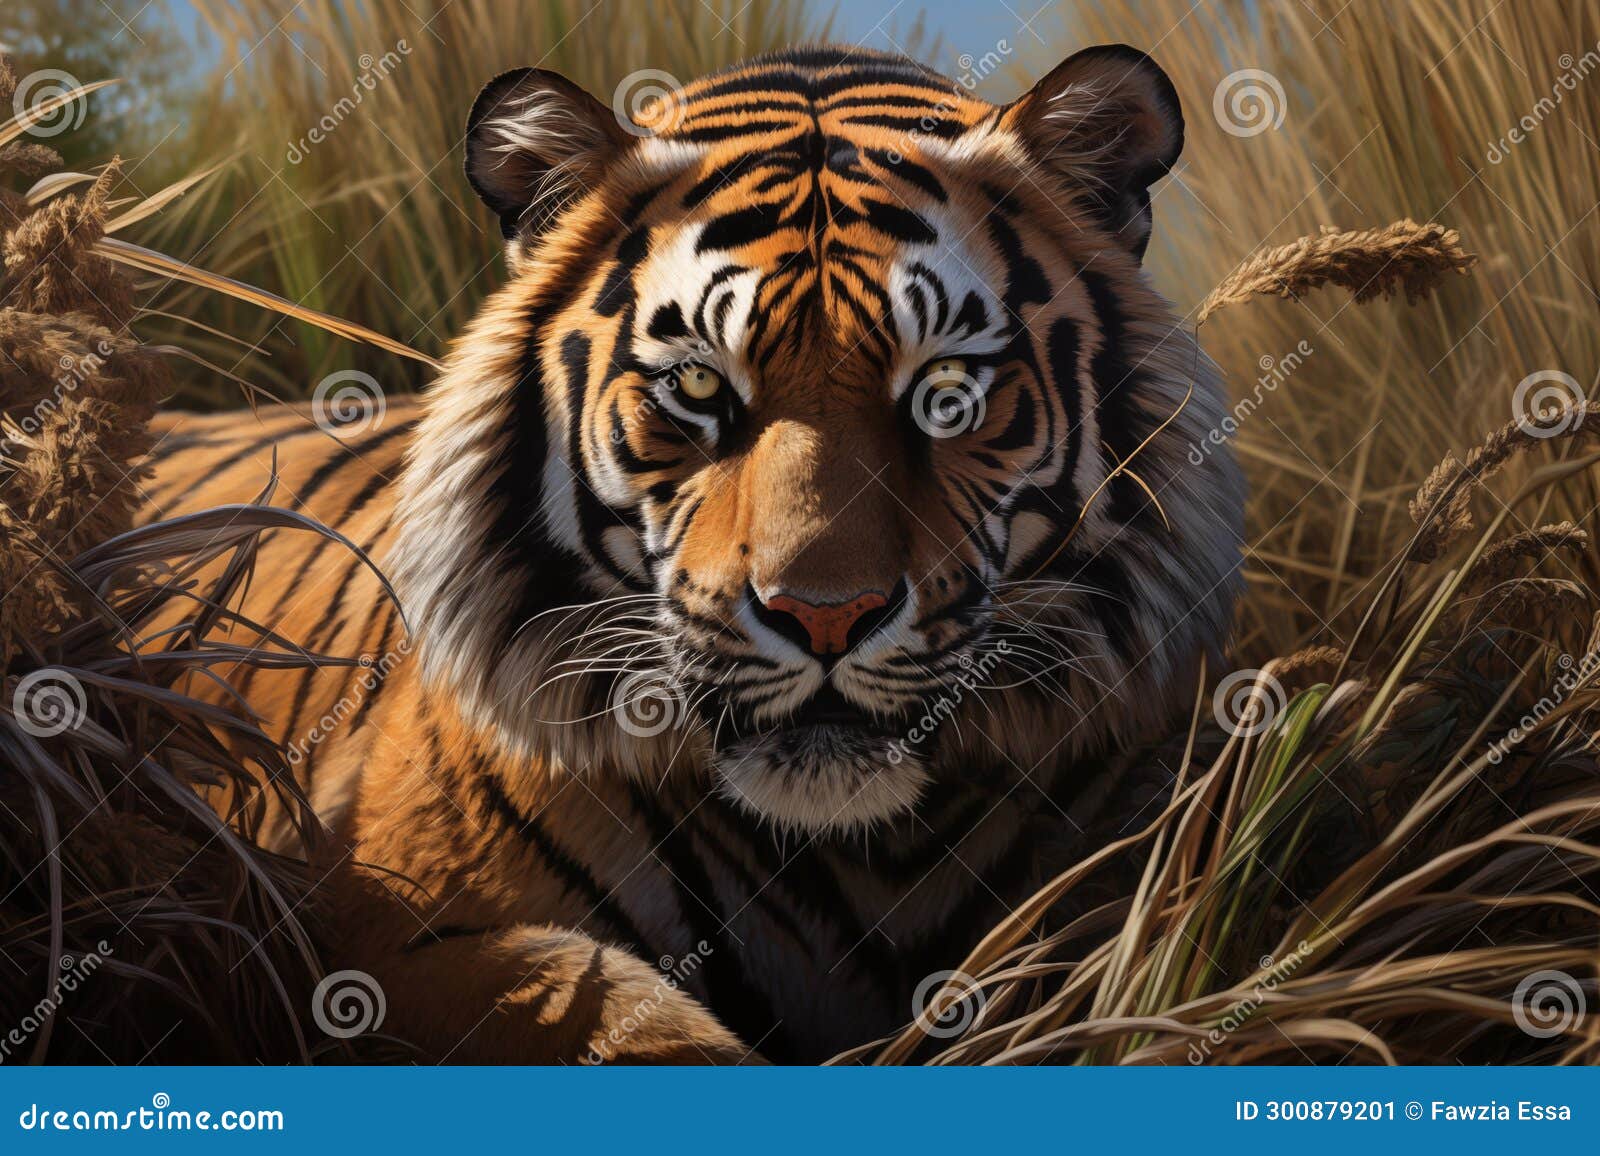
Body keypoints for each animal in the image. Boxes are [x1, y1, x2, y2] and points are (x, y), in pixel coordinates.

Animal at [142, 43, 1243, 1064]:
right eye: (700, 386)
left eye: (946, 388)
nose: (825, 616)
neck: (861, 858)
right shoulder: (376, 935)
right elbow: (624, 1023)